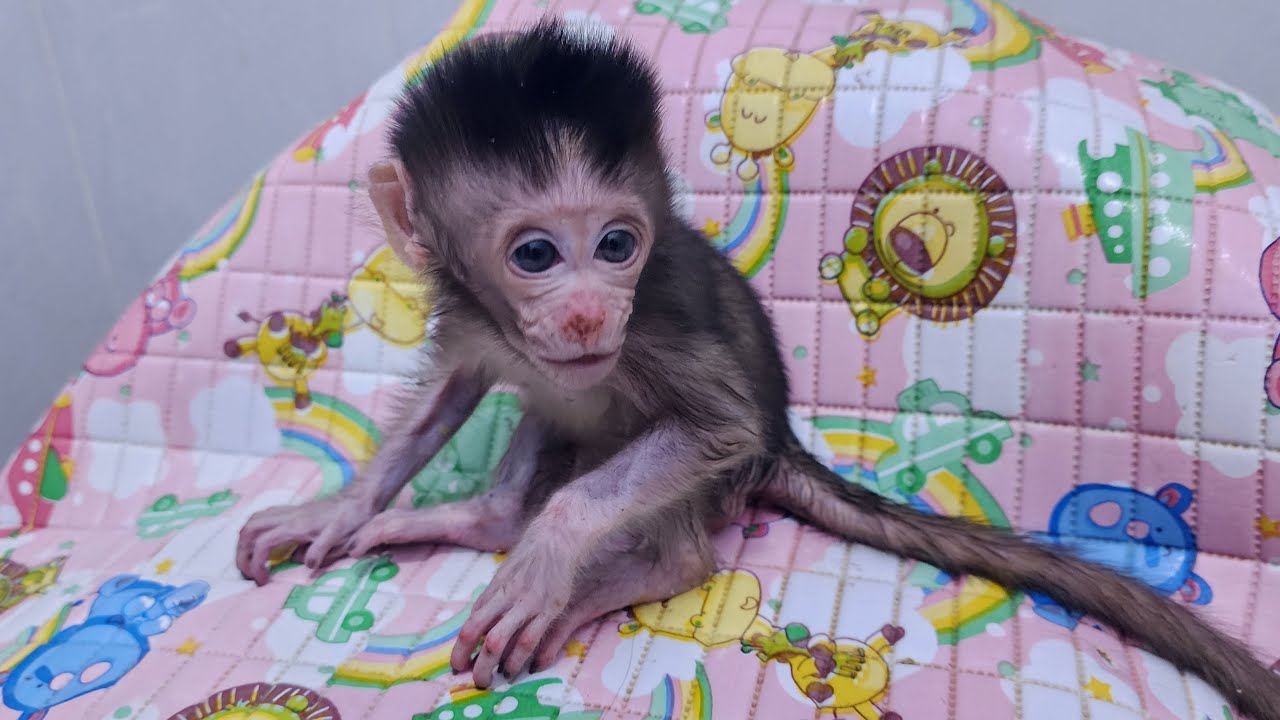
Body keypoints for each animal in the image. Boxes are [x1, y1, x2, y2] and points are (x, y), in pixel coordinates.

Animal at [234, 19, 1280, 719]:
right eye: (535, 255)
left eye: (617, 244)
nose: (587, 311)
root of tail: (787, 441)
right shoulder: (474, 324)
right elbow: (443, 403)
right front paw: (338, 510)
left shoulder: (653, 317)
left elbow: (708, 428)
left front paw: (552, 552)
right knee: (550, 418)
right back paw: (473, 520)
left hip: (732, 466)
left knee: (693, 503)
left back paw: (614, 577)